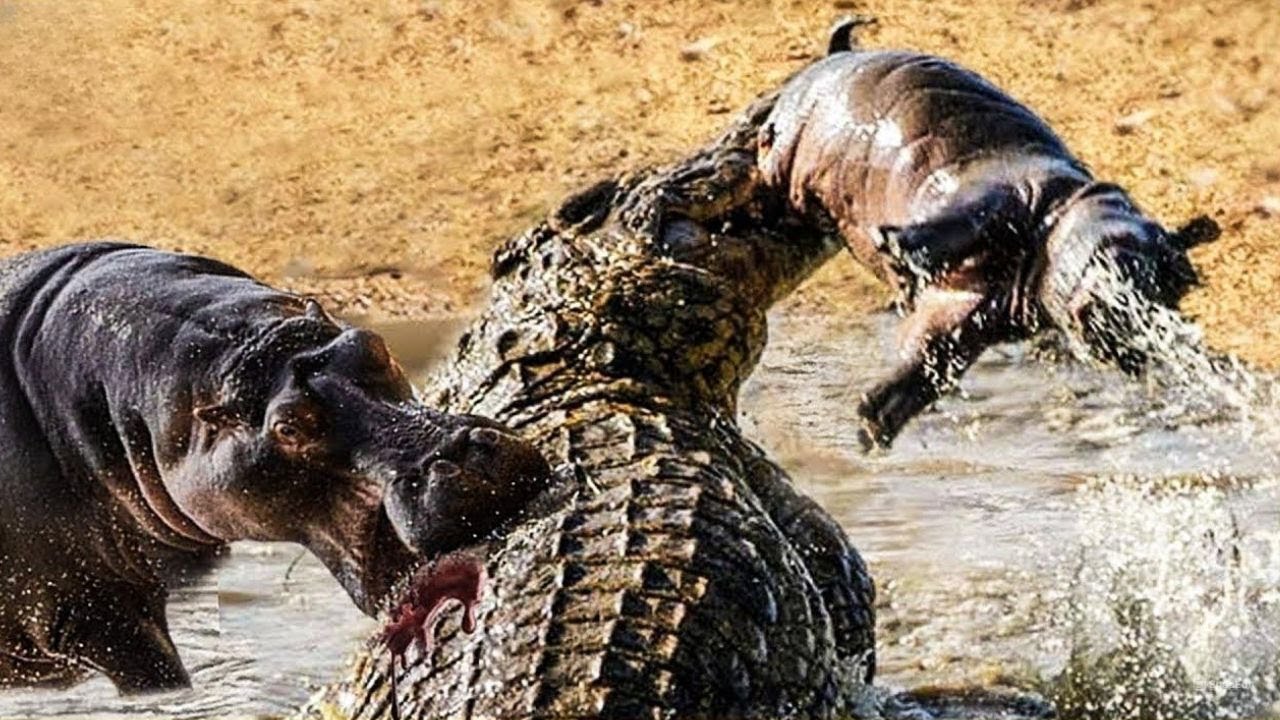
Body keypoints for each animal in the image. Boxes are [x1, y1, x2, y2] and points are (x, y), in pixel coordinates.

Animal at [756, 19, 1220, 450]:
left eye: (1181, 279)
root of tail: (839, 53)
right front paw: (895, 247)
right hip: (789, 145)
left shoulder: (980, 307)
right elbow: (960, 223)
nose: (1143, 328)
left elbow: (932, 357)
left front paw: (874, 424)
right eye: (1125, 254)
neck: (1066, 207)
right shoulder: (1004, 195)